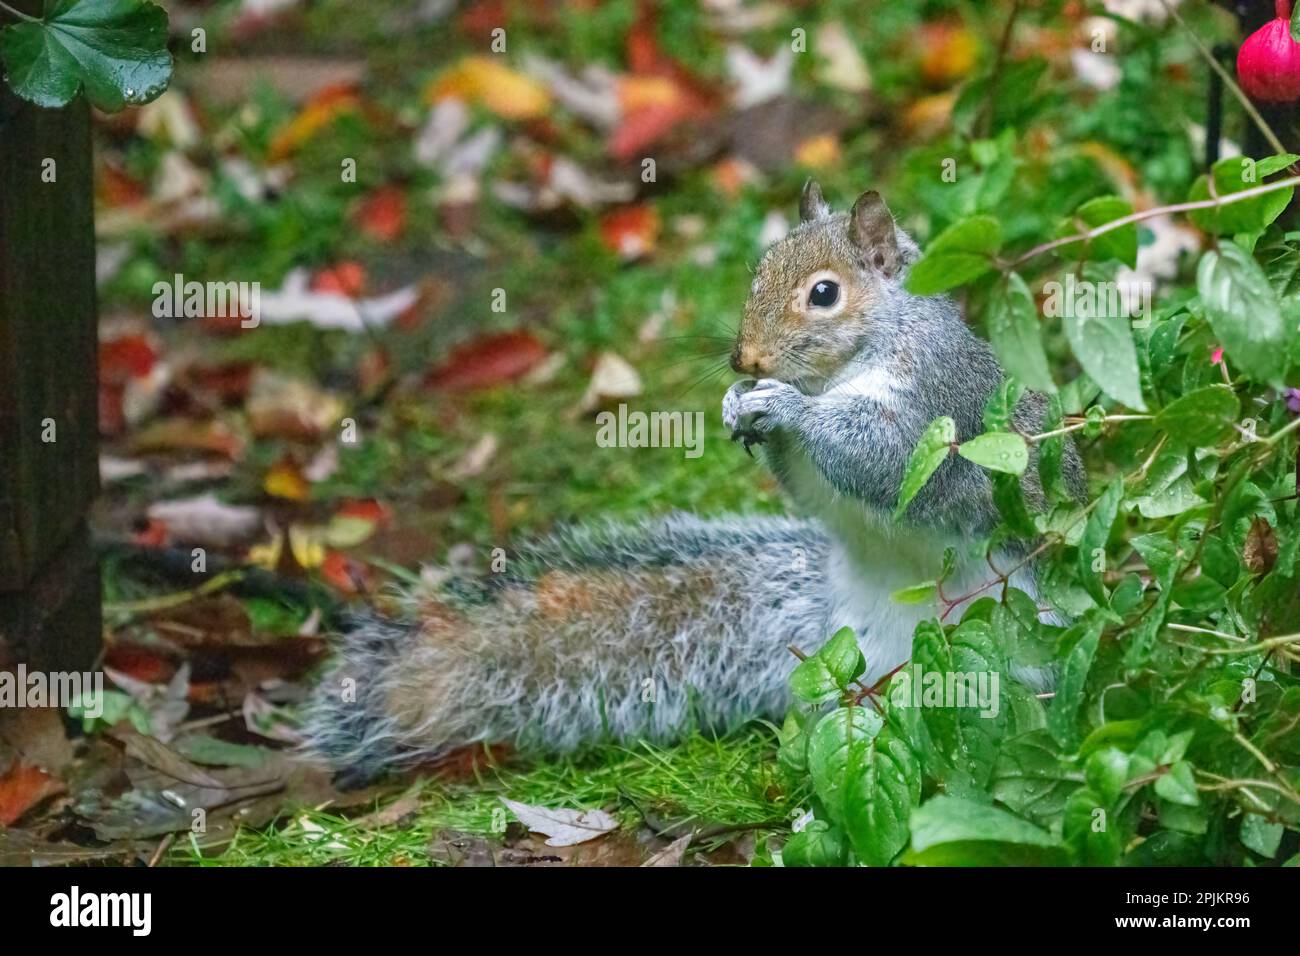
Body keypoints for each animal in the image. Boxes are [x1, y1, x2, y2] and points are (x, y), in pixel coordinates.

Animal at [303, 182, 1086, 782]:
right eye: (756, 272)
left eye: (823, 294)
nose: (744, 360)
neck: (850, 361)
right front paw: (741, 406)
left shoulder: (939, 404)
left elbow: (890, 465)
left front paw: (786, 407)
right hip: (862, 654)